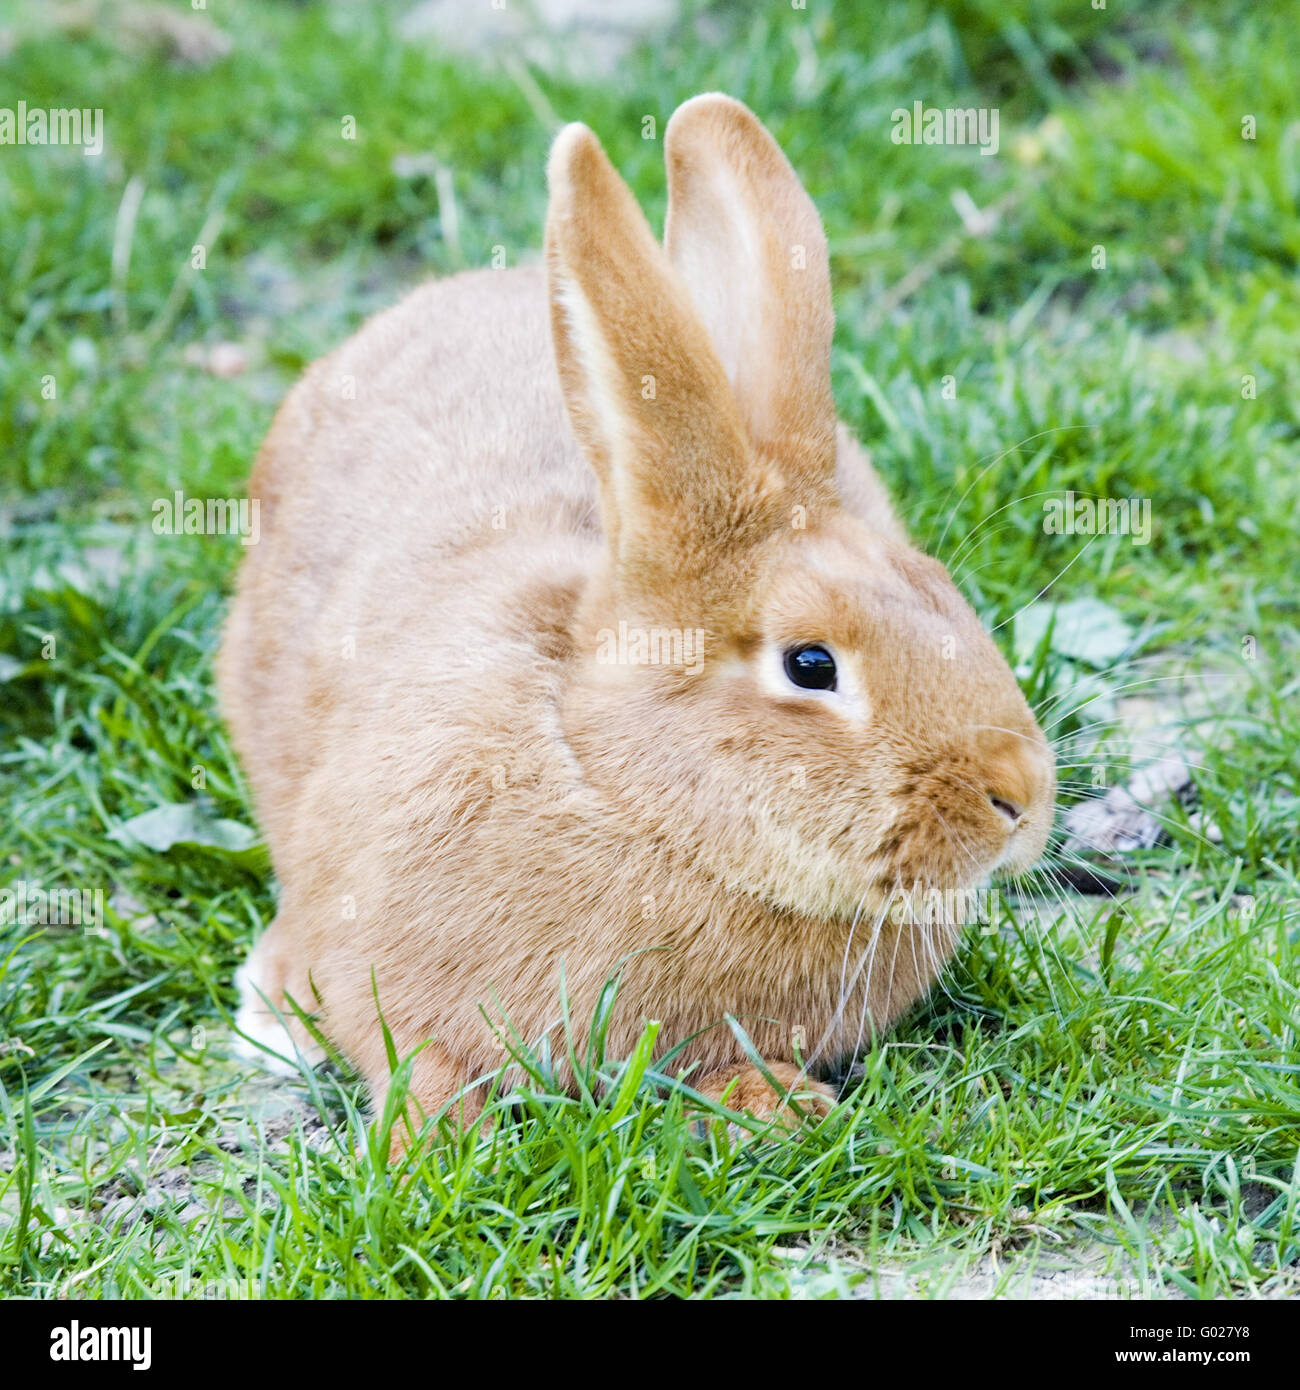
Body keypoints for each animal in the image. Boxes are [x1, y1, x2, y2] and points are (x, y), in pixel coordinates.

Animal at [218, 93, 1056, 1139]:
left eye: (941, 587)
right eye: (811, 664)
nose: (1022, 796)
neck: (614, 786)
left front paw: (779, 1106)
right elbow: (414, 1061)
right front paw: (433, 1145)